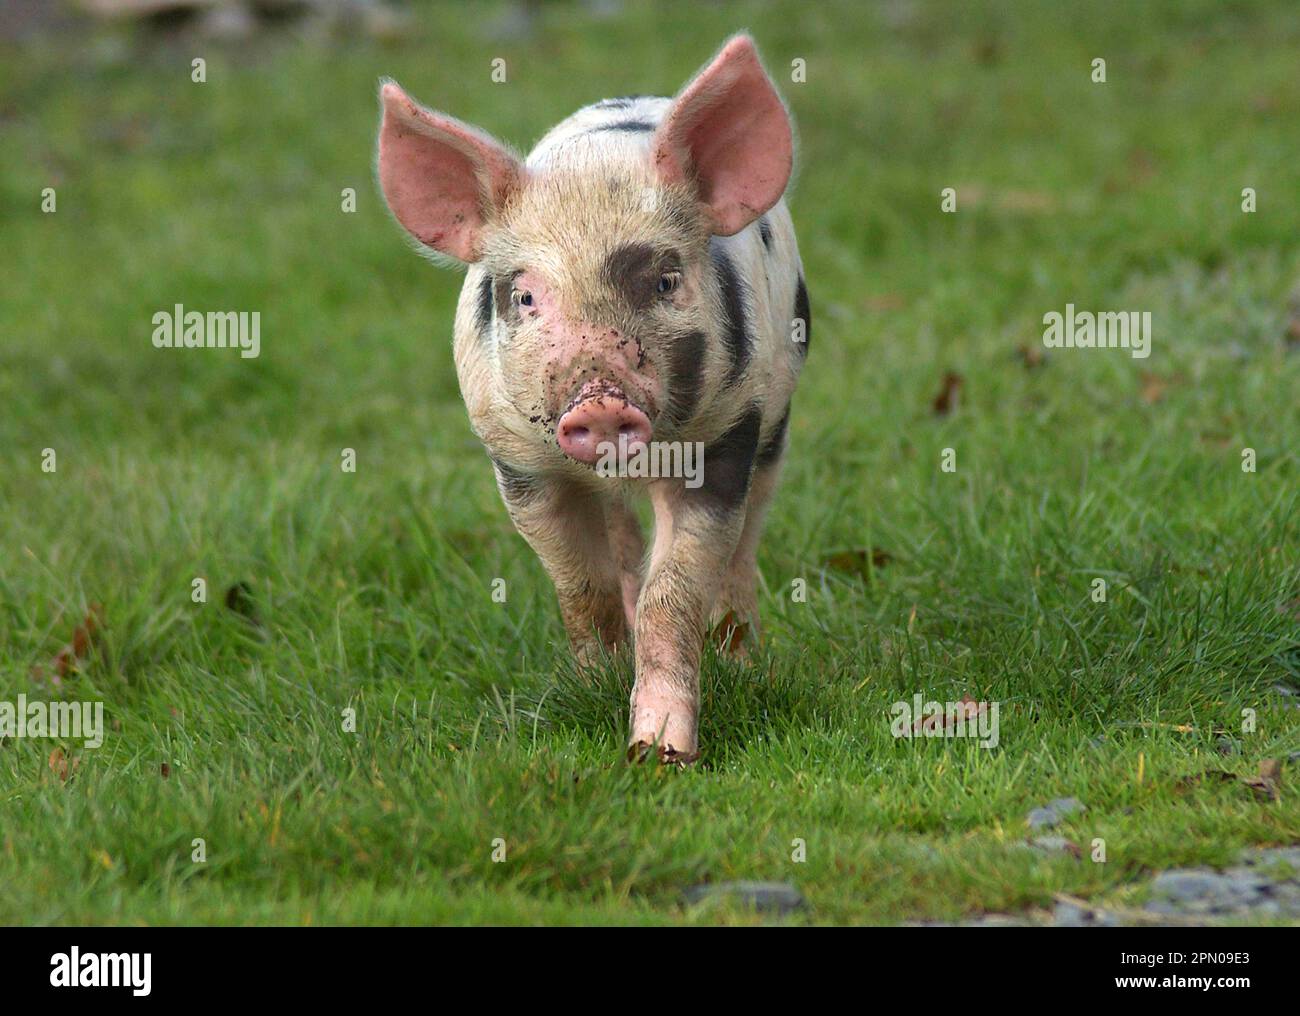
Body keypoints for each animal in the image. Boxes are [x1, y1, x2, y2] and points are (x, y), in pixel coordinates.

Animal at [376, 34, 809, 763]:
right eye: (525, 295)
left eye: (665, 280)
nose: (600, 399)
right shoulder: (518, 462)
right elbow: (582, 586)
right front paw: (596, 681)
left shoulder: (726, 436)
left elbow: (676, 591)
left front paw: (660, 753)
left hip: (775, 423)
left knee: (746, 542)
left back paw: (745, 658)